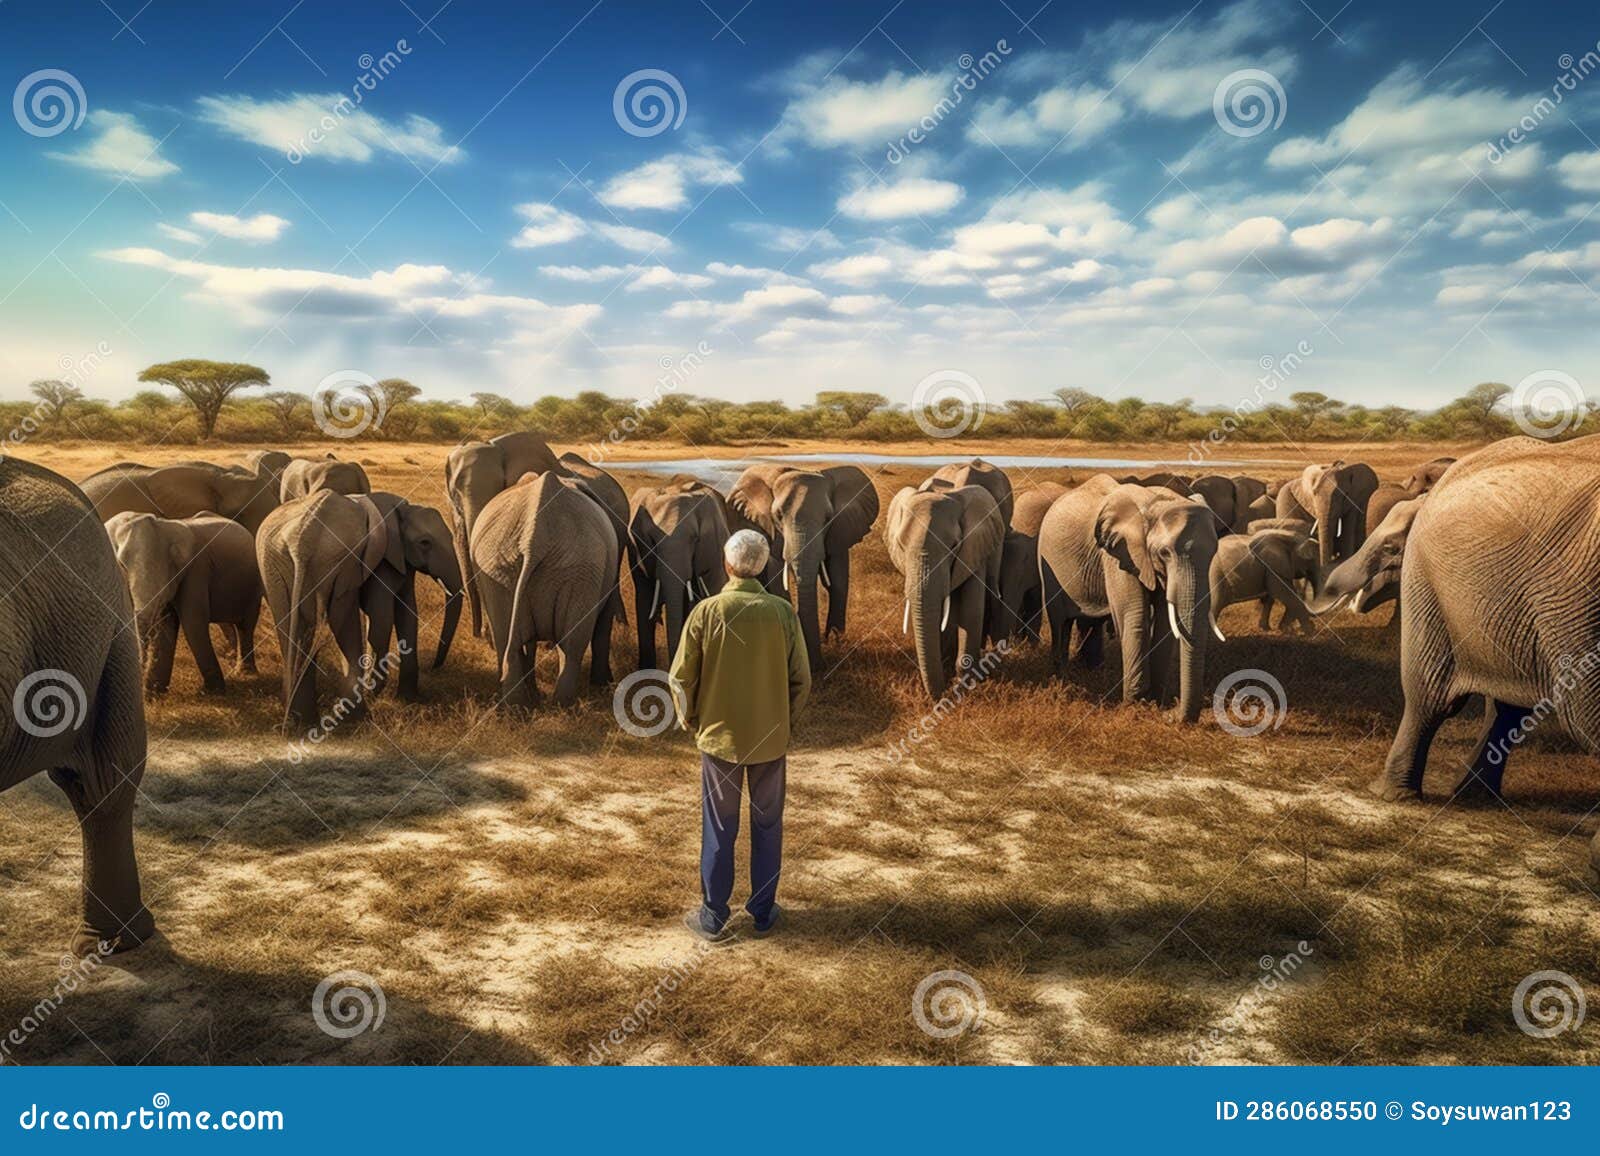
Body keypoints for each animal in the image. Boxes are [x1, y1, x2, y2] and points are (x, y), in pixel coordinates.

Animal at [105, 511, 263, 695]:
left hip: (254, 585)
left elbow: (193, 623)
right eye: (121, 565)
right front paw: (155, 693)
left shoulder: (195, 570)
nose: (142, 688)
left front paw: (214, 692)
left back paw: (246, 673)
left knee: (246, 626)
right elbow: (167, 624)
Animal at [471, 472, 620, 709]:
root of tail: (534, 536)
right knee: (570, 645)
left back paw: (521, 708)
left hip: (504, 566)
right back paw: (554, 707)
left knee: (515, 641)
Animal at [727, 463, 879, 671]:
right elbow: (776, 579)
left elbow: (838, 580)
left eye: (828, 518)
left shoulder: (841, 528)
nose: (817, 666)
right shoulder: (771, 531)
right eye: (778, 516)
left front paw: (836, 641)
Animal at [884, 483, 1006, 700]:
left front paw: (965, 683)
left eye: (954, 546)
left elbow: (971, 611)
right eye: (900, 545)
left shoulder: (974, 548)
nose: (940, 695)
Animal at [1039, 476, 1219, 721]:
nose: (1172, 713)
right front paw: (1136, 704)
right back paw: (1061, 678)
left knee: (1090, 622)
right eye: (1164, 553)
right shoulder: (1118, 553)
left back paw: (1090, 669)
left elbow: (1164, 625)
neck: (1156, 503)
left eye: (1214, 553)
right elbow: (1134, 614)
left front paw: (1156, 701)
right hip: (1048, 564)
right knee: (1060, 622)